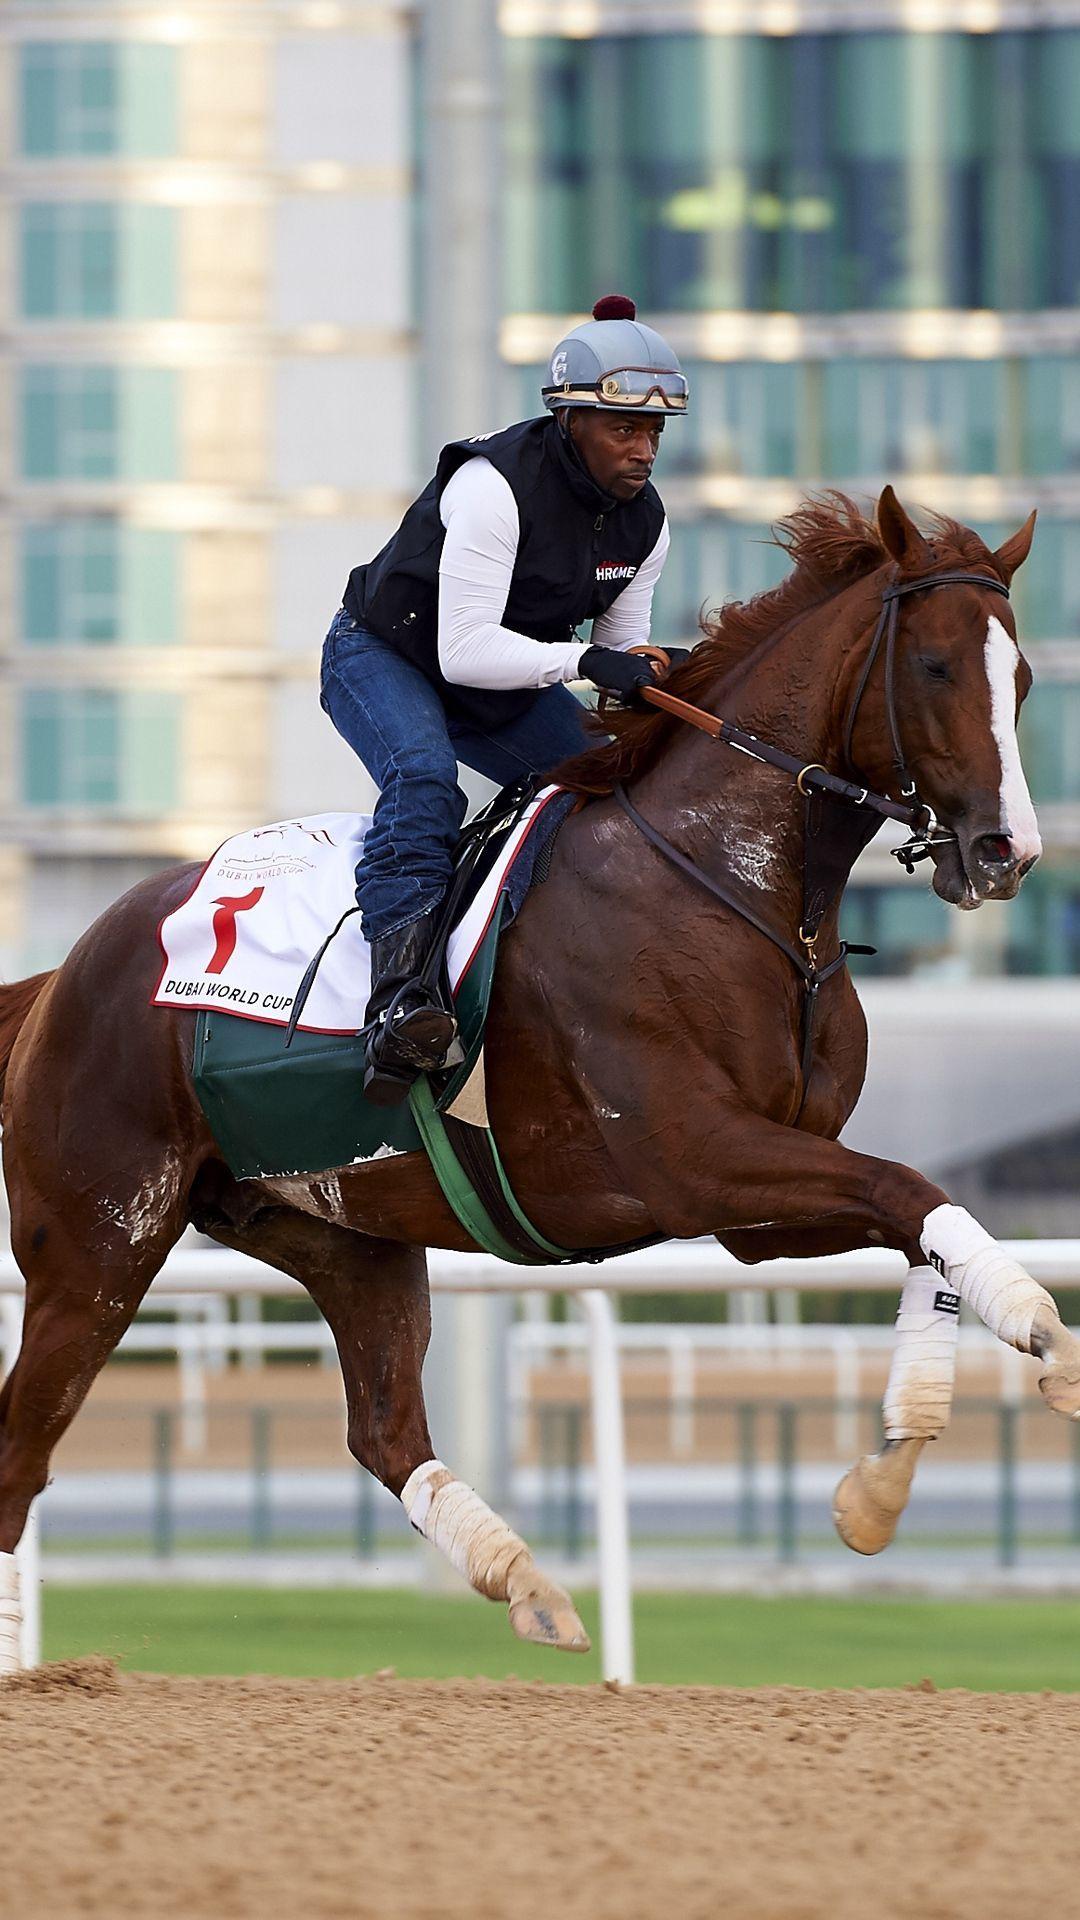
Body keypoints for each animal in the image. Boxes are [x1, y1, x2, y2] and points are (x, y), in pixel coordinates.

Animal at [1, 484, 1076, 1672]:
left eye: (1024, 675)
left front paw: (880, 1485)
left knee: (385, 1429)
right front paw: (1041, 1327)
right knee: (22, 1449)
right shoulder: (696, 1159)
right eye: (934, 667)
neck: (736, 885)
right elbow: (908, 1189)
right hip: (96, 1245)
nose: (1007, 851)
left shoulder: (752, 1205)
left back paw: (529, 1584)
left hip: (338, 1233)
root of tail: (60, 977)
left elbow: (917, 1219)